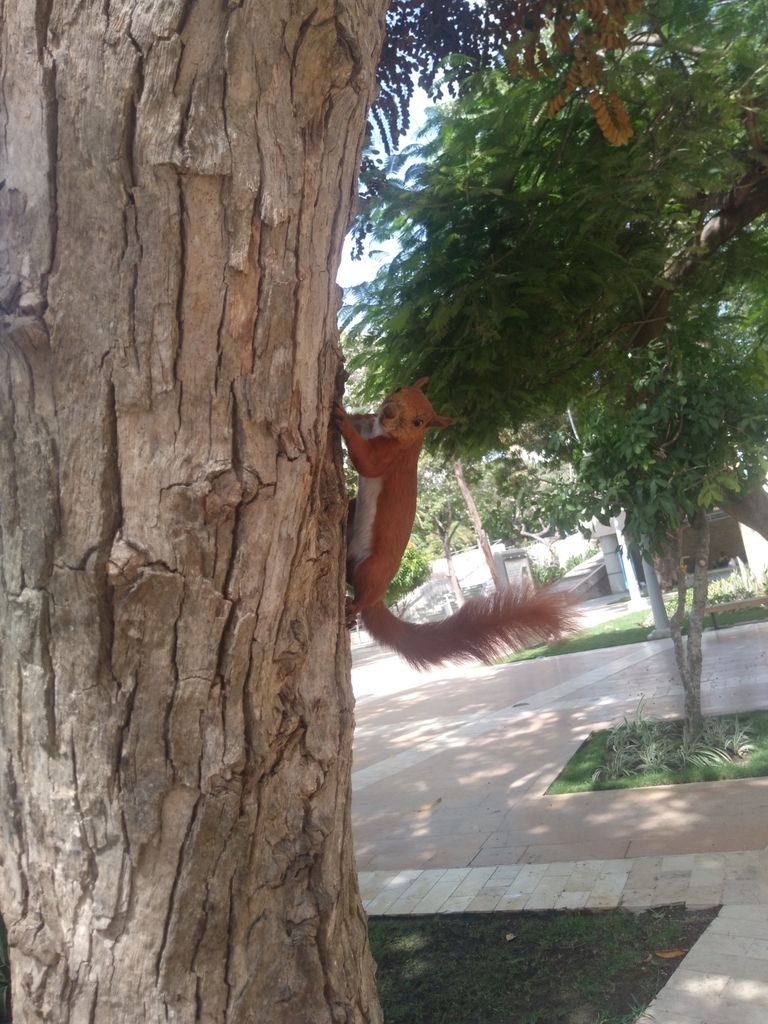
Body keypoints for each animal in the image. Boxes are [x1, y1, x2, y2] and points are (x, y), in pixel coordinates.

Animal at [332, 378, 575, 669]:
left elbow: (366, 462)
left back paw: (353, 607)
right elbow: (360, 420)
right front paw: (344, 402)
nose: (388, 412)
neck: (387, 431)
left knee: (363, 590)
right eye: (399, 388)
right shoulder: (369, 423)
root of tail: (379, 597)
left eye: (419, 422)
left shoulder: (391, 456)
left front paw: (342, 421)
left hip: (374, 568)